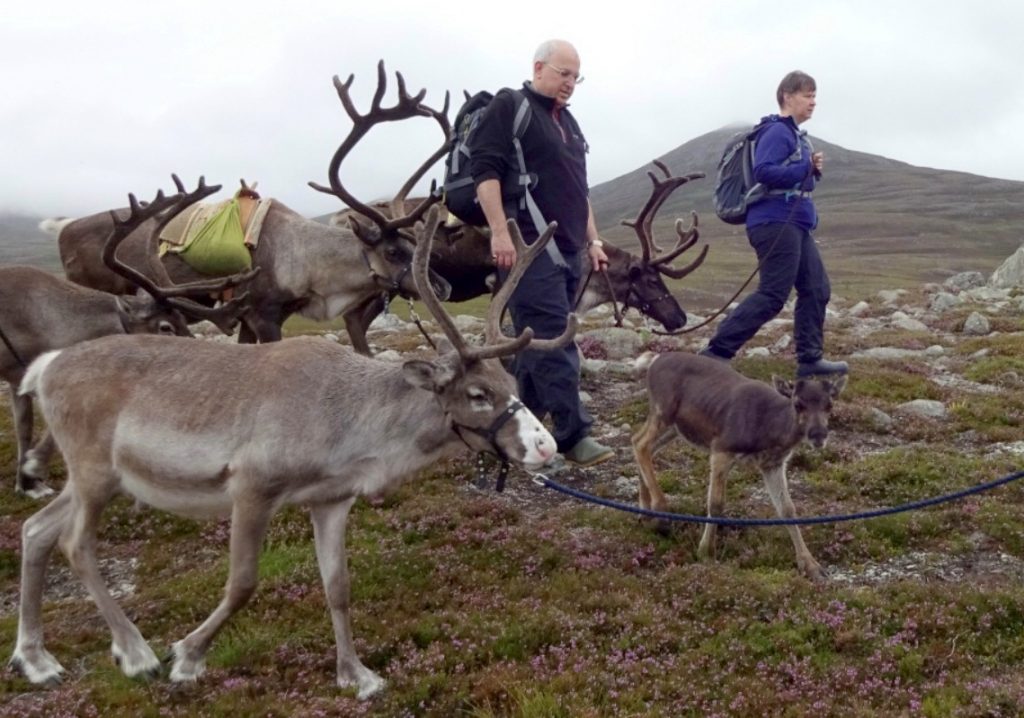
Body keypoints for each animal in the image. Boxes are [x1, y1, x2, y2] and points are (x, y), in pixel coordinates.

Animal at [1, 177, 255, 499]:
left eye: (183, 319)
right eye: (165, 327)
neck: (54, 322)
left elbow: (26, 428)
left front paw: (27, 479)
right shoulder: (22, 375)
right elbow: (33, 427)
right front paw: (31, 479)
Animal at [10, 206, 575, 699]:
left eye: (510, 382)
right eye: (477, 393)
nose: (545, 444)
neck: (351, 419)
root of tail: (46, 367)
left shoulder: (330, 500)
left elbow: (338, 586)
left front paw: (356, 674)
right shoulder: (252, 487)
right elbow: (242, 583)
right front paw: (187, 656)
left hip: (96, 477)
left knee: (36, 530)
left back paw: (36, 660)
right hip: (94, 470)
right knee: (74, 543)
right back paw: (135, 653)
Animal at [46, 61, 452, 344]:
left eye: (415, 243)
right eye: (394, 252)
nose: (442, 287)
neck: (304, 260)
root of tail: (63, 228)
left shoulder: (258, 317)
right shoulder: (262, 315)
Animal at [631, 353, 846, 581]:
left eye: (830, 405)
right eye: (798, 404)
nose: (818, 435)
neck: (769, 431)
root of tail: (654, 360)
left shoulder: (773, 464)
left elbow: (787, 509)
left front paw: (811, 566)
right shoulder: (721, 449)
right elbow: (716, 504)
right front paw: (706, 552)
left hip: (675, 427)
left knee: (642, 444)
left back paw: (646, 513)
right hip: (663, 411)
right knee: (641, 444)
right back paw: (660, 512)